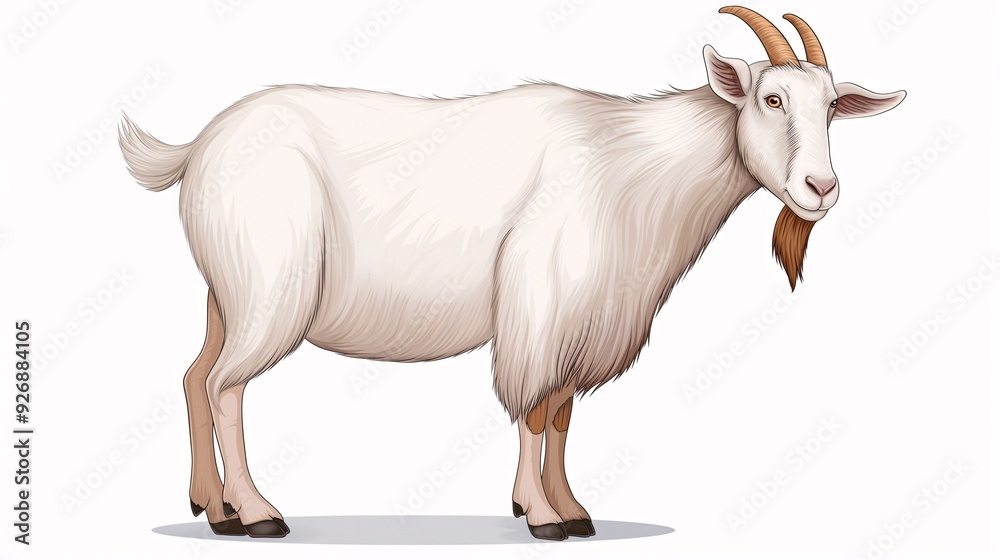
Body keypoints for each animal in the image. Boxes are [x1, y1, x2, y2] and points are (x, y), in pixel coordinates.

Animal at [119, 6, 904, 540]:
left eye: (833, 107)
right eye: (771, 99)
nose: (821, 189)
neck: (629, 165)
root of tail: (194, 149)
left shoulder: (581, 321)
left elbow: (560, 414)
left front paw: (570, 509)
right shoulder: (541, 305)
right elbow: (531, 408)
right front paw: (543, 516)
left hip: (228, 293)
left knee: (194, 375)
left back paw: (212, 506)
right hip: (271, 290)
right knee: (225, 386)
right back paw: (256, 514)